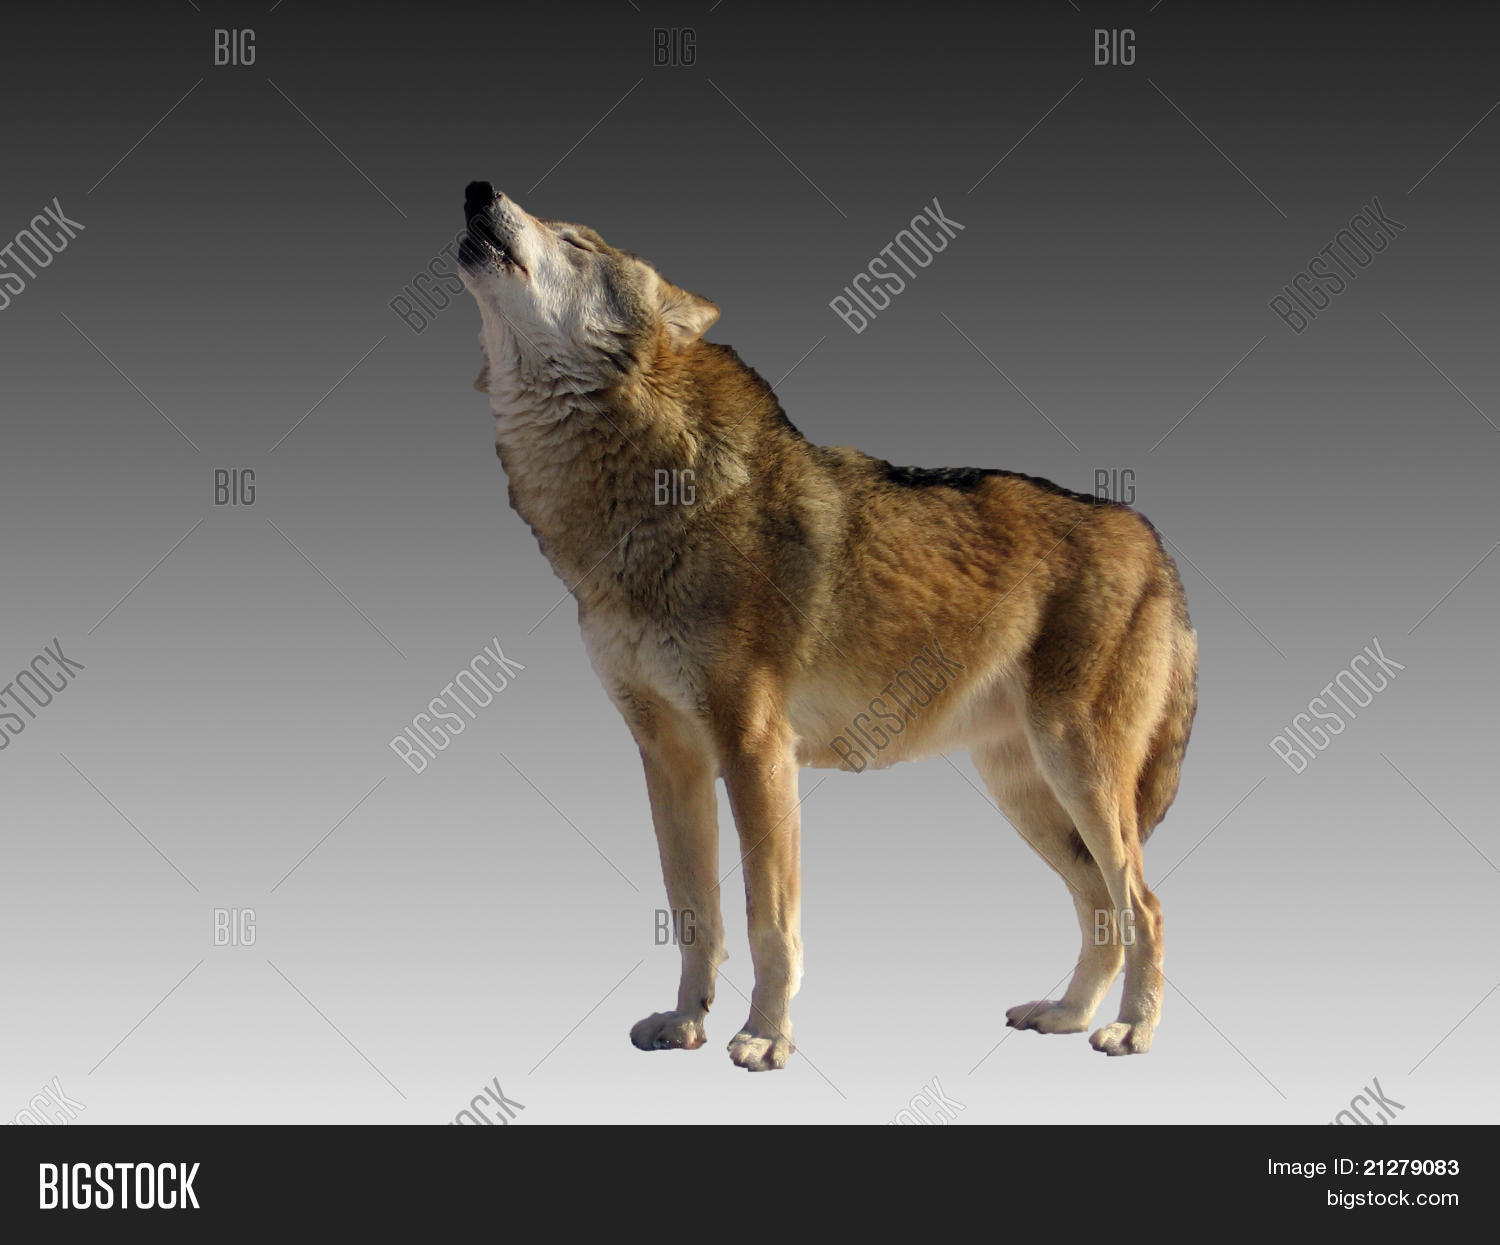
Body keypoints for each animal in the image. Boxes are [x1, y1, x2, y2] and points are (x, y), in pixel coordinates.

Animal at [457, 181, 1198, 1070]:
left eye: (575, 242)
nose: (477, 189)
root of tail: (1152, 535)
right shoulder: (667, 757)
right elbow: (694, 913)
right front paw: (687, 1023)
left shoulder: (755, 751)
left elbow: (768, 922)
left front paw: (764, 1037)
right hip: (1026, 791)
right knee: (1100, 906)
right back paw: (1066, 1014)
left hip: (1078, 772)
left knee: (1146, 905)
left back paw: (1132, 1030)